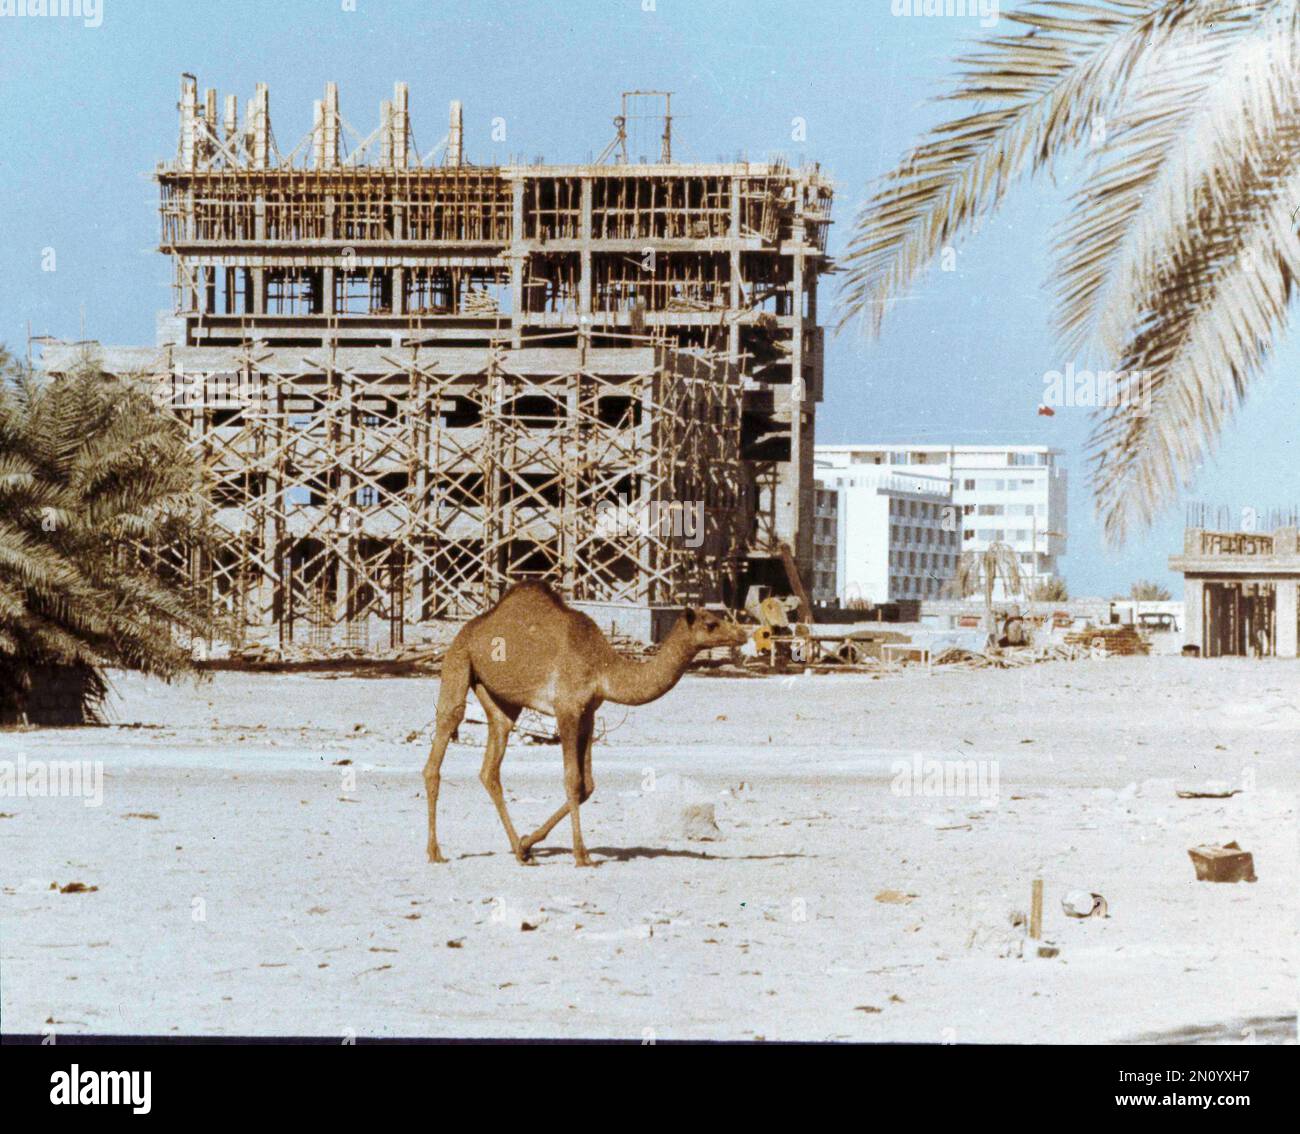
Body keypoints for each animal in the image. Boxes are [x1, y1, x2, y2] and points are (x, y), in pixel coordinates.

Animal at [423, 581, 749, 867]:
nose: (742, 634)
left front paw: (529, 842)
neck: (602, 667)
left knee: (491, 765)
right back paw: (435, 852)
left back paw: (520, 851)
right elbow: (572, 780)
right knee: (445, 733)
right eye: (711, 623)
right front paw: (581, 856)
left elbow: (588, 785)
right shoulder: (566, 710)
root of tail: (472, 627)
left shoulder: (588, 714)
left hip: (502, 700)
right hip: (459, 659)